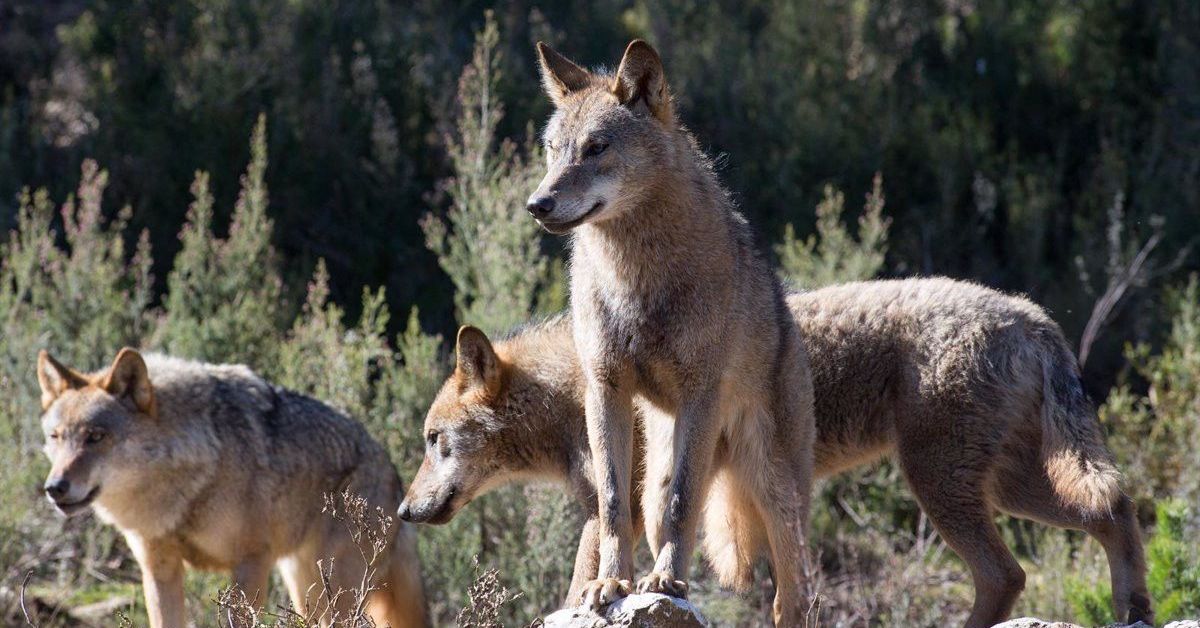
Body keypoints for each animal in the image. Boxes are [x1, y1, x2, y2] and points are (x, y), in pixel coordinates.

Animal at [37, 348, 427, 628]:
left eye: (96, 437)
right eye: (56, 438)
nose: (55, 487)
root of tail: (393, 472)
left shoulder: (251, 563)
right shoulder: (159, 569)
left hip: (335, 595)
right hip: (307, 590)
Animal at [400, 278, 1152, 628]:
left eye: (434, 442)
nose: (404, 512)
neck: (571, 390)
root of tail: (1032, 314)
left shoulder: (624, 507)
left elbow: (586, 580)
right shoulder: (616, 509)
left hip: (944, 487)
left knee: (1008, 571)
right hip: (1009, 488)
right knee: (1115, 511)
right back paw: (1135, 608)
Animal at [524, 39, 817, 624]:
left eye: (596, 148)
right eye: (552, 149)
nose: (537, 205)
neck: (635, 279)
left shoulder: (700, 392)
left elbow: (686, 504)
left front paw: (666, 582)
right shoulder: (604, 390)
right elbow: (613, 504)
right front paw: (611, 582)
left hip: (774, 490)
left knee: (793, 595)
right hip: (661, 472)